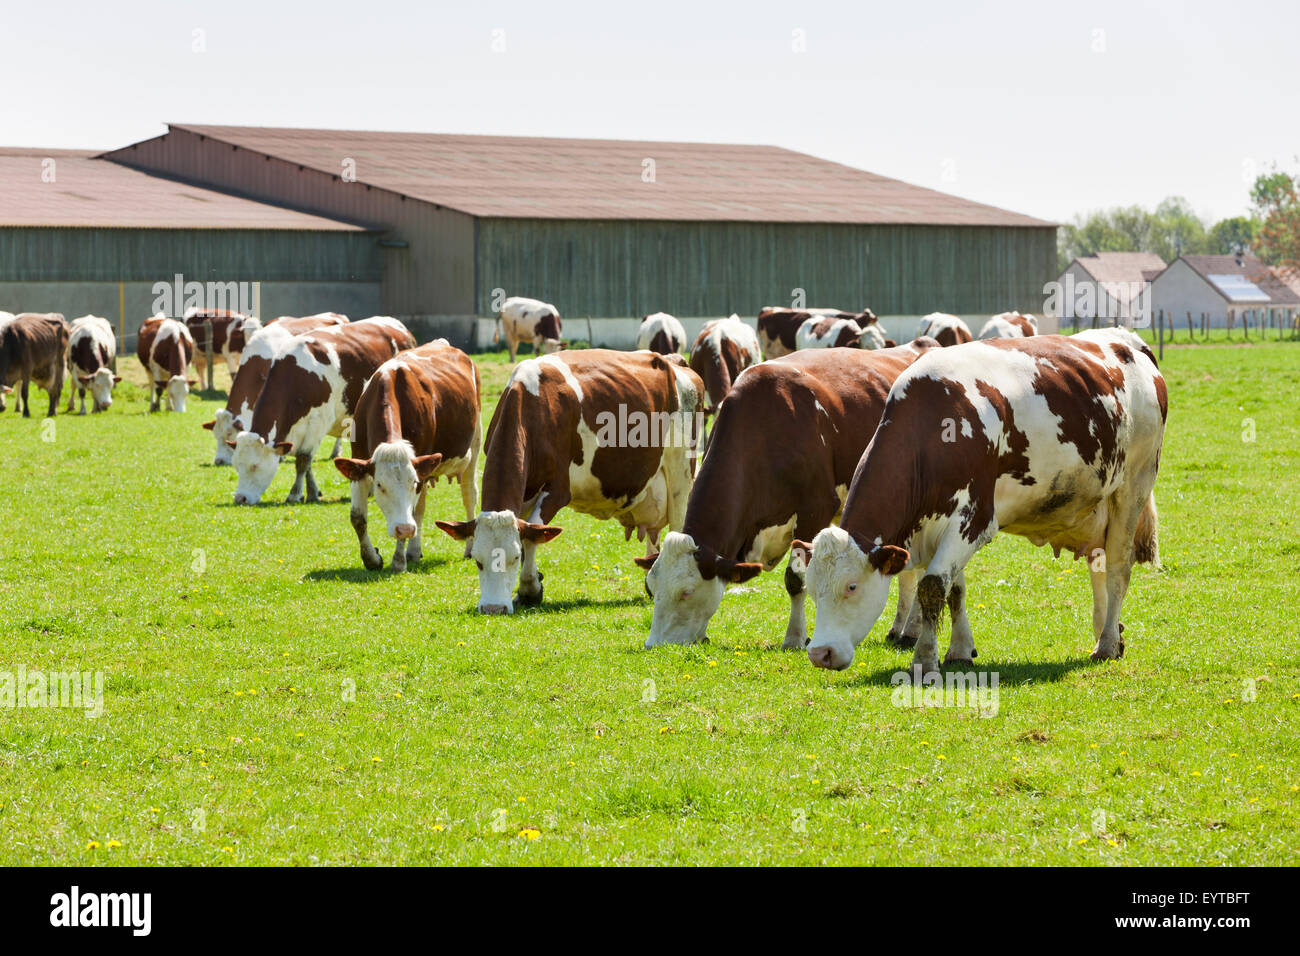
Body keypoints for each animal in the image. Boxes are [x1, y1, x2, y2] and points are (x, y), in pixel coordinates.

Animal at [230, 317, 417, 505]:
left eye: (255, 466)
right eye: (237, 465)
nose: (240, 498)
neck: (297, 376)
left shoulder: (317, 422)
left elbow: (303, 460)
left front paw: (295, 494)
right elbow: (307, 464)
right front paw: (313, 492)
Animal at [334, 340, 482, 572]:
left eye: (412, 482)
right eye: (379, 485)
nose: (404, 529)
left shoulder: (419, 470)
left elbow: (411, 511)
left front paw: (398, 561)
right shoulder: (359, 465)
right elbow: (357, 517)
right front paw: (372, 558)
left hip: (473, 445)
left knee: (469, 495)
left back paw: (468, 547)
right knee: (419, 511)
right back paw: (414, 550)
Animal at [435, 349, 704, 614]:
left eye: (513, 557)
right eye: (477, 560)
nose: (493, 608)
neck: (532, 406)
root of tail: (673, 361)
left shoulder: (558, 490)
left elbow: (532, 535)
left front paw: (530, 589)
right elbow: (529, 531)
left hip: (681, 472)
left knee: (677, 526)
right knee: (653, 532)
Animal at [639, 340, 940, 650]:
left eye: (686, 591)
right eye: (652, 586)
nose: (655, 645)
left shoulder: (815, 510)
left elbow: (796, 578)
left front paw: (795, 636)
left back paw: (910, 631)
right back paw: (898, 629)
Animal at [800, 328, 1166, 675]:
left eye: (850, 586)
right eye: (812, 587)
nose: (819, 654)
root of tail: (1126, 341)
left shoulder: (973, 520)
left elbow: (932, 586)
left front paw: (925, 659)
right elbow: (954, 590)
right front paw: (960, 650)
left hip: (1133, 485)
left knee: (1117, 566)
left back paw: (1107, 643)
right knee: (1098, 565)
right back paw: (1108, 632)